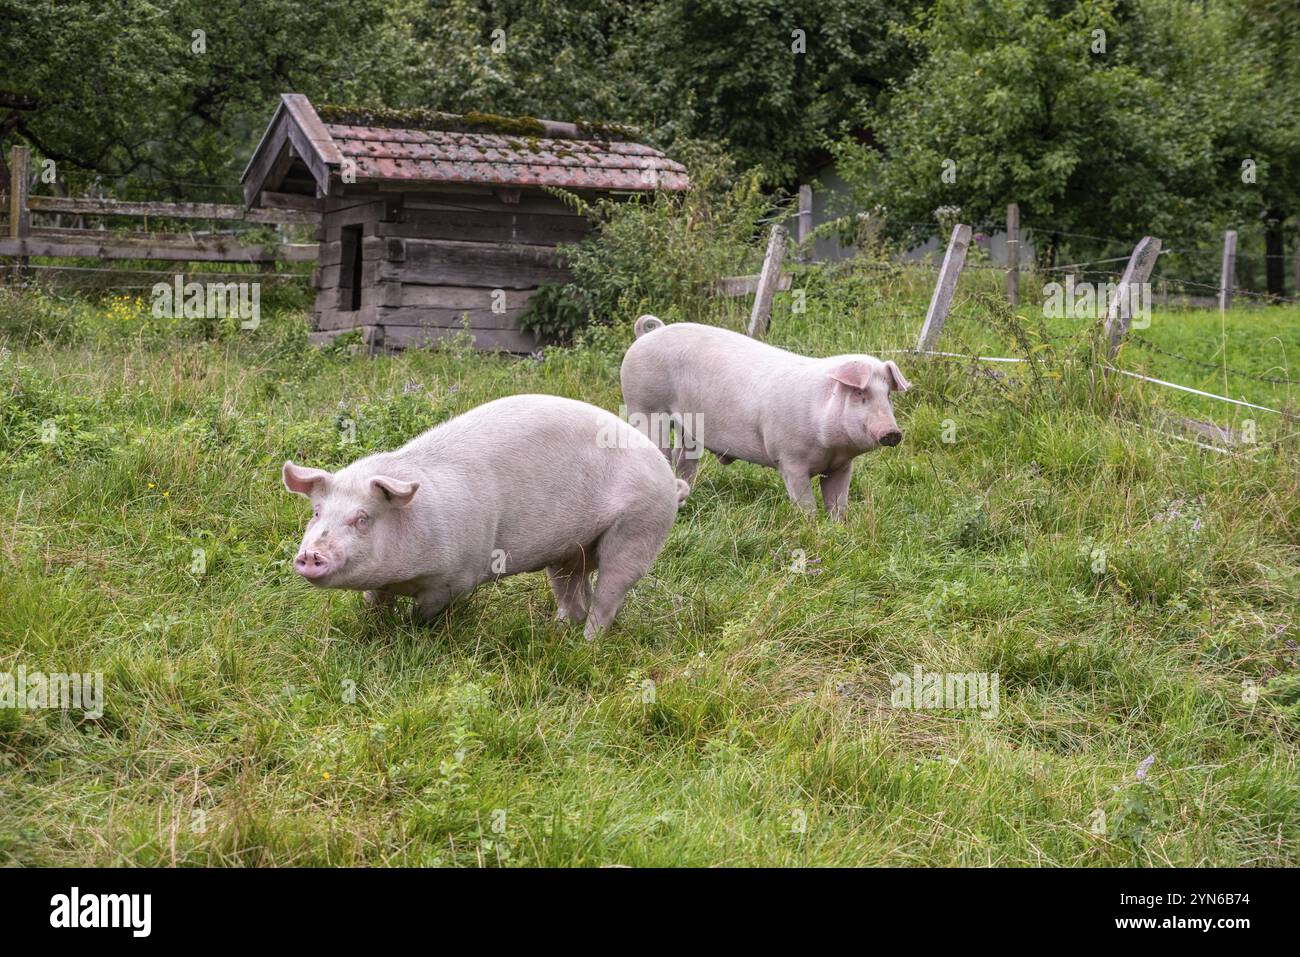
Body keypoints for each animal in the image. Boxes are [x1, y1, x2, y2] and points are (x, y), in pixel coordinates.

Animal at [282, 393, 690, 639]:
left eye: (363, 518)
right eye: (317, 512)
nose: (310, 554)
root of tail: (669, 479)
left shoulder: (456, 577)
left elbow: (427, 610)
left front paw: (416, 631)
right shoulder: (380, 582)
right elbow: (374, 602)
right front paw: (378, 626)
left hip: (639, 528)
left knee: (607, 598)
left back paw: (586, 644)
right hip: (569, 552)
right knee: (575, 594)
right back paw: (556, 633)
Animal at [620, 315, 910, 520]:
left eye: (887, 395)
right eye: (860, 394)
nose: (892, 432)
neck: (831, 446)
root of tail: (650, 333)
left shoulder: (841, 466)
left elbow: (838, 503)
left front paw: (838, 528)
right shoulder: (789, 460)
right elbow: (806, 504)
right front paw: (811, 527)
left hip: (689, 429)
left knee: (684, 460)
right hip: (644, 407)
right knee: (661, 452)